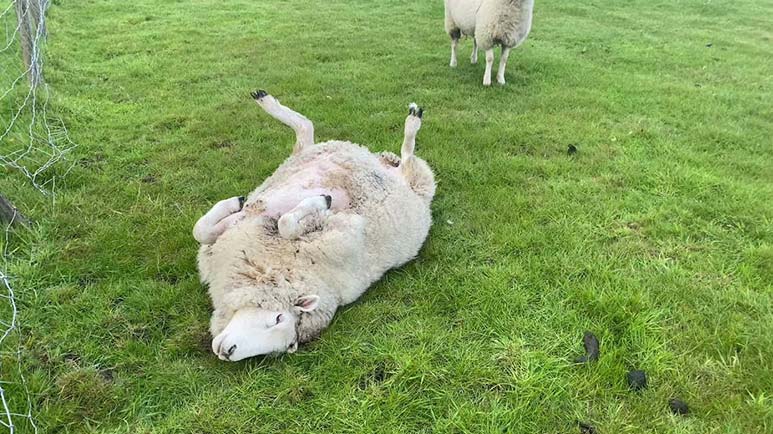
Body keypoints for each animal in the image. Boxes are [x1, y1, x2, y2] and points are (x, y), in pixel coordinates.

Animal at [193, 90, 436, 361]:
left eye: (280, 320)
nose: (227, 352)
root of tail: (382, 162)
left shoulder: (342, 231)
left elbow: (286, 223)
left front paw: (320, 202)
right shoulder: (237, 228)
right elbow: (201, 230)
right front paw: (233, 203)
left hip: (415, 180)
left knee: (408, 155)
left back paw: (413, 120)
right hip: (300, 157)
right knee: (306, 131)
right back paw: (266, 102)